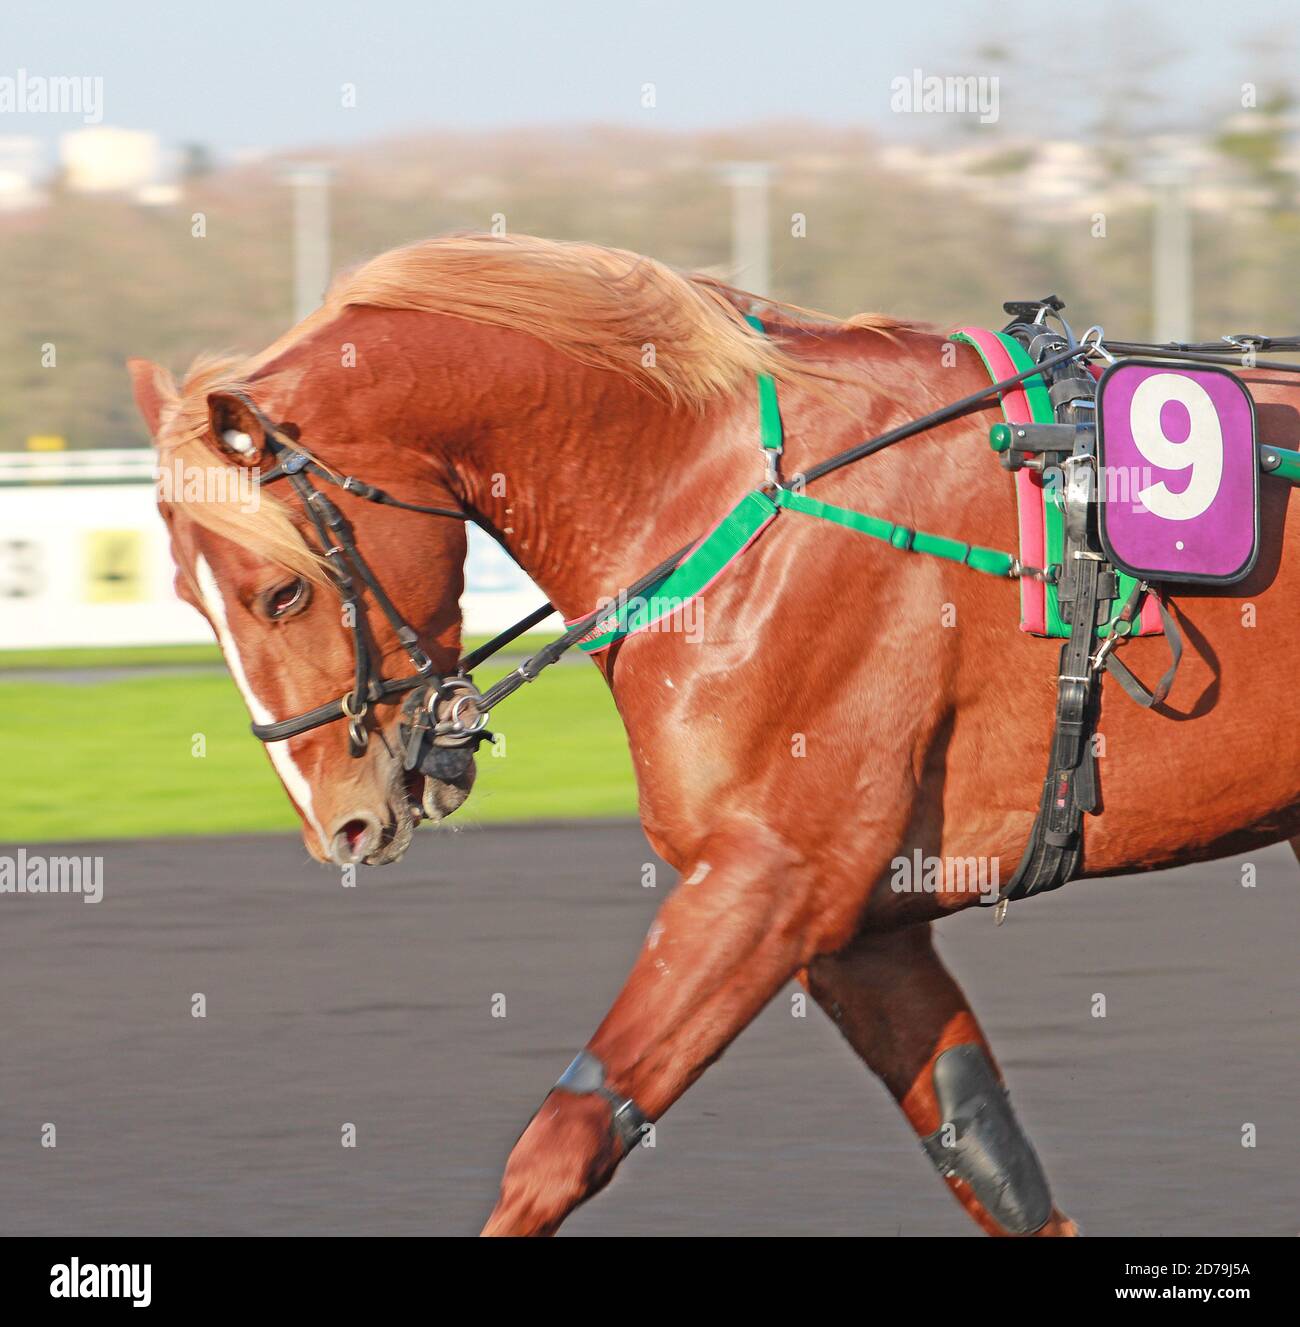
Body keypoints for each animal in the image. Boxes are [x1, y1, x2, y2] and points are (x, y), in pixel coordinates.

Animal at [127, 233, 1300, 1236]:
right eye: (188, 597)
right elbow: (988, 1158)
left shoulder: (770, 881)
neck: (730, 491)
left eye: (279, 591)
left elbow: (561, 1144)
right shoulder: (858, 931)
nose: (341, 822)